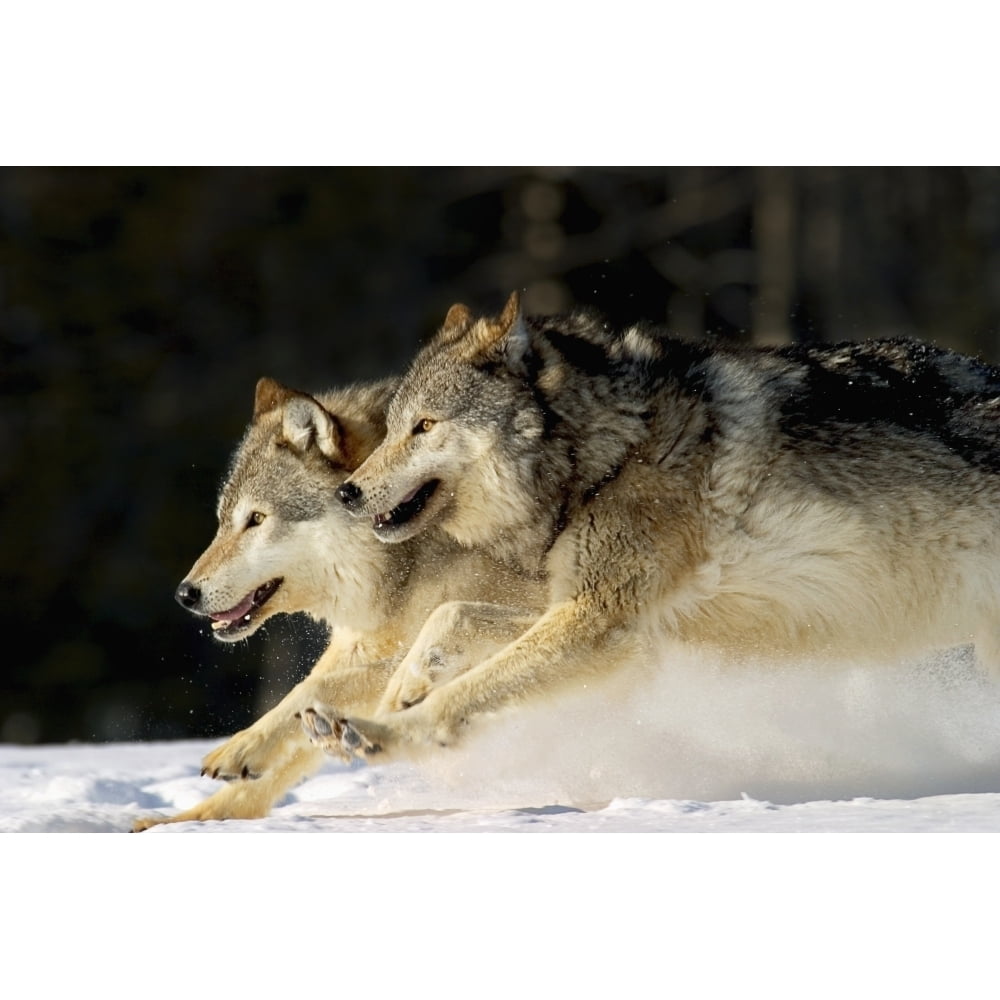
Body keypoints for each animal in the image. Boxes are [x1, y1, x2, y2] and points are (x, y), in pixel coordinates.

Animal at [133, 375, 544, 830]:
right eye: (224, 522)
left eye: (256, 519)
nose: (184, 594)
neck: (405, 560)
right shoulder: (357, 644)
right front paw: (188, 820)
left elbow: (318, 686)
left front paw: (243, 747)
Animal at [305, 292, 1000, 762]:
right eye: (393, 428)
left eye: (424, 426)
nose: (346, 492)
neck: (612, 451)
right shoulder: (624, 629)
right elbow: (449, 618)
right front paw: (400, 690)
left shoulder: (599, 621)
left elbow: (465, 693)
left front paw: (383, 730)